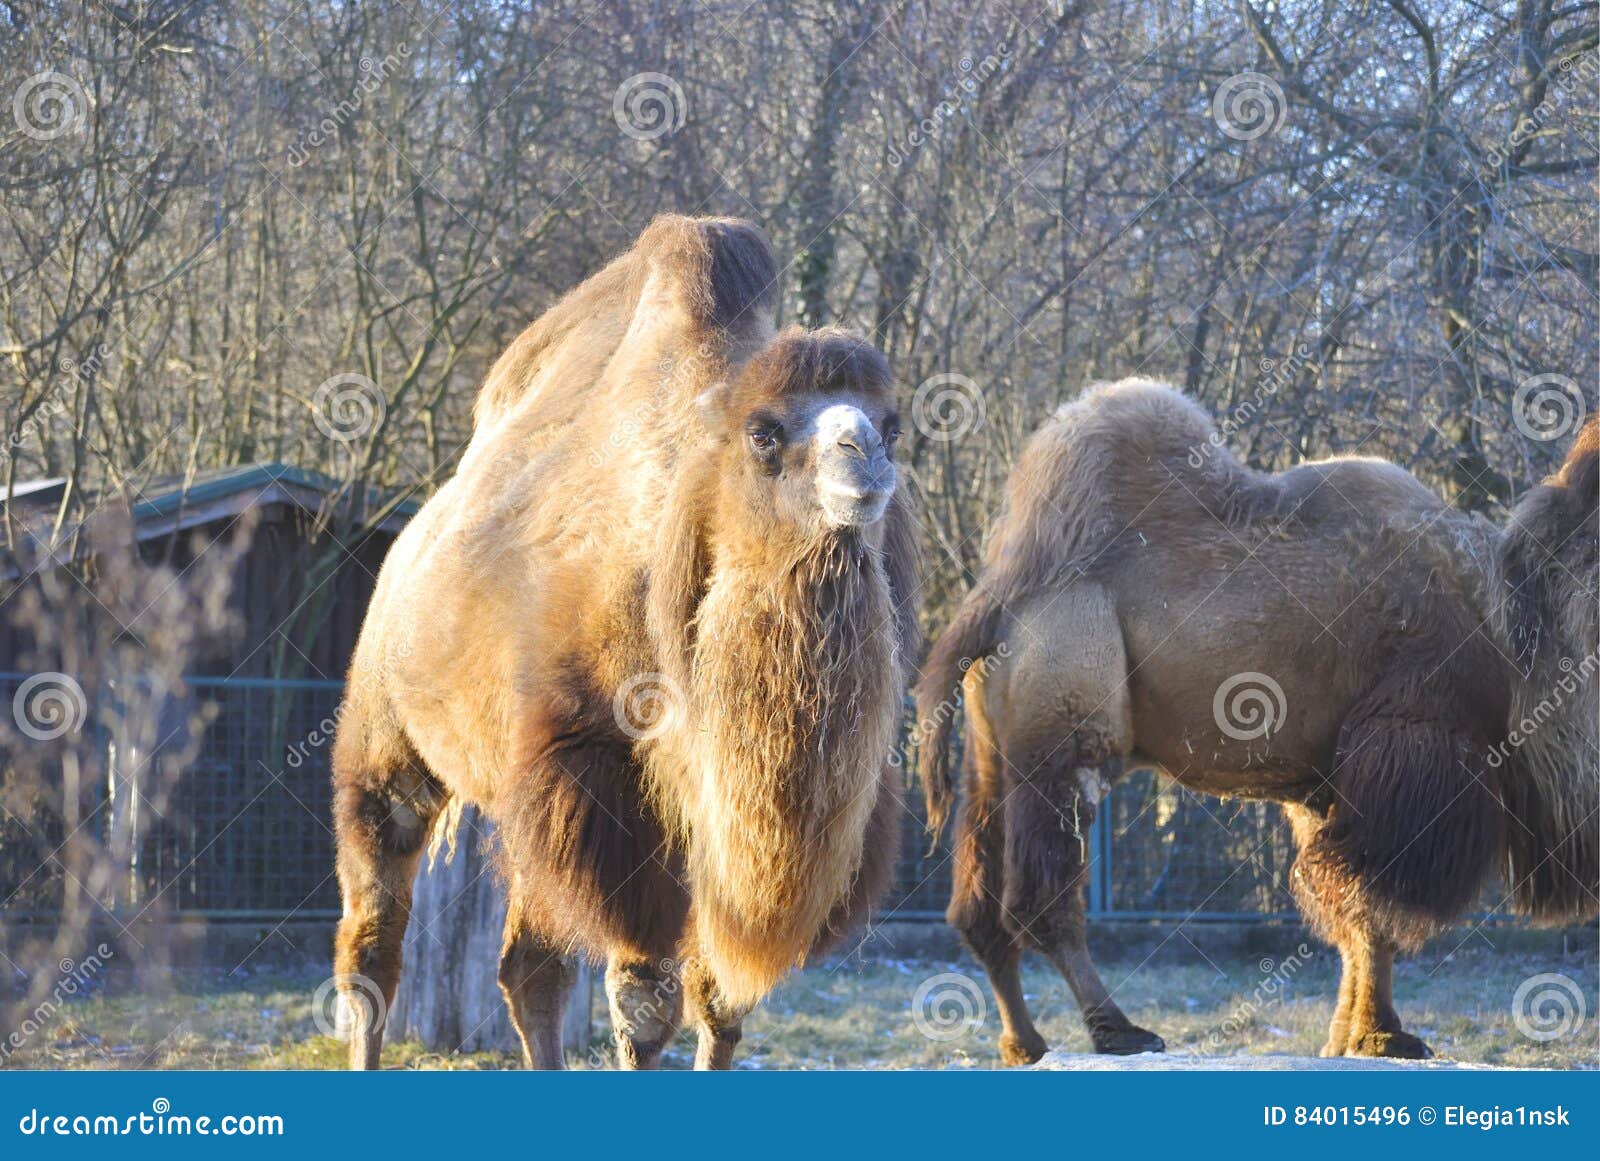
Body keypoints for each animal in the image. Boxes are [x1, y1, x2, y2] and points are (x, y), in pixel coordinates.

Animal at [331, 216, 919, 1070]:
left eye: (892, 423)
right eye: (764, 431)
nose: (865, 459)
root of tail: (410, 540)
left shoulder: (723, 820)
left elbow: (720, 1003)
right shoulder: (601, 786)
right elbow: (645, 1003)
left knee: (526, 968)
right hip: (389, 733)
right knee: (377, 933)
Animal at [915, 378, 1598, 1064]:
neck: (1511, 623)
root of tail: (993, 601)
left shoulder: (1328, 780)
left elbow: (1353, 918)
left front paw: (1344, 1037)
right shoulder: (1411, 750)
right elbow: (1374, 907)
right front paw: (1385, 1035)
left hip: (989, 758)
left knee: (978, 910)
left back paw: (1025, 1043)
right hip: (1064, 730)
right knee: (1040, 899)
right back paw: (1120, 1030)